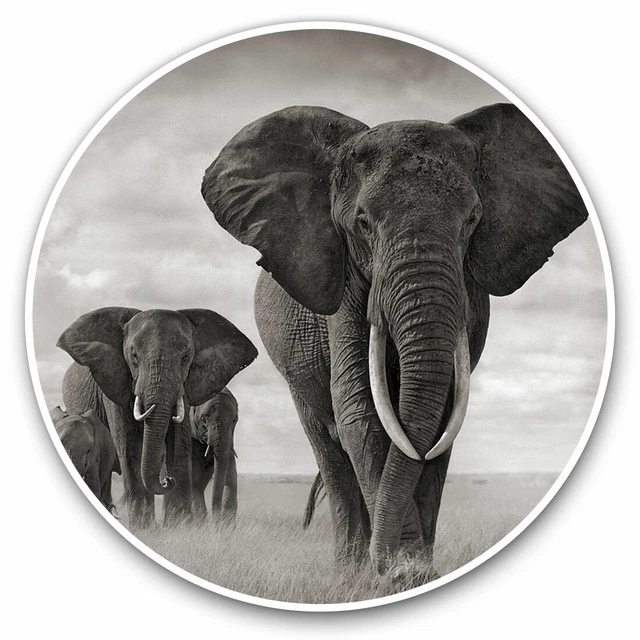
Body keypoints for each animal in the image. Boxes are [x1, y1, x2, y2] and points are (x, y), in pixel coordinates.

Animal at [190, 387, 239, 525]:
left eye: (234, 420)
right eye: (203, 420)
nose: (215, 521)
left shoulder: (229, 441)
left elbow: (231, 478)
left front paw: (225, 527)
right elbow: (194, 479)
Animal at [200, 102, 588, 579]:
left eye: (473, 220)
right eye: (363, 222)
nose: (389, 565)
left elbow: (441, 415)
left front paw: (413, 571)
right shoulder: (344, 284)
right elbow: (361, 411)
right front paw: (399, 574)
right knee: (329, 450)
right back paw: (350, 572)